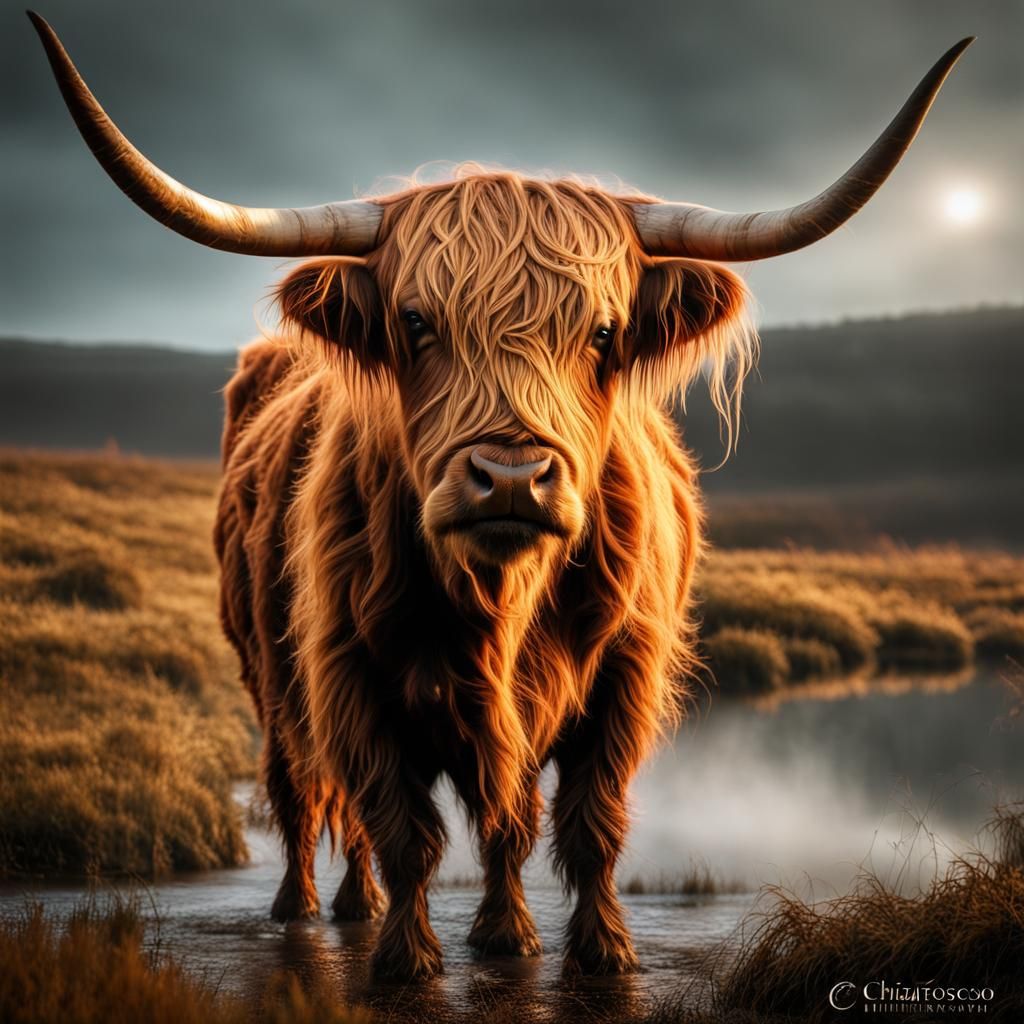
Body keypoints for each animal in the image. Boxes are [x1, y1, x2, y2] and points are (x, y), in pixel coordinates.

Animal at [31, 12, 970, 980]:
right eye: (415, 321)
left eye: (603, 331)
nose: (512, 477)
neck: (499, 605)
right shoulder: (349, 674)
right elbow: (402, 827)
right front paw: (409, 958)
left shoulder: (625, 675)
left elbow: (581, 824)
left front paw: (577, 947)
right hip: (269, 670)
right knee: (302, 790)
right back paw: (315, 907)